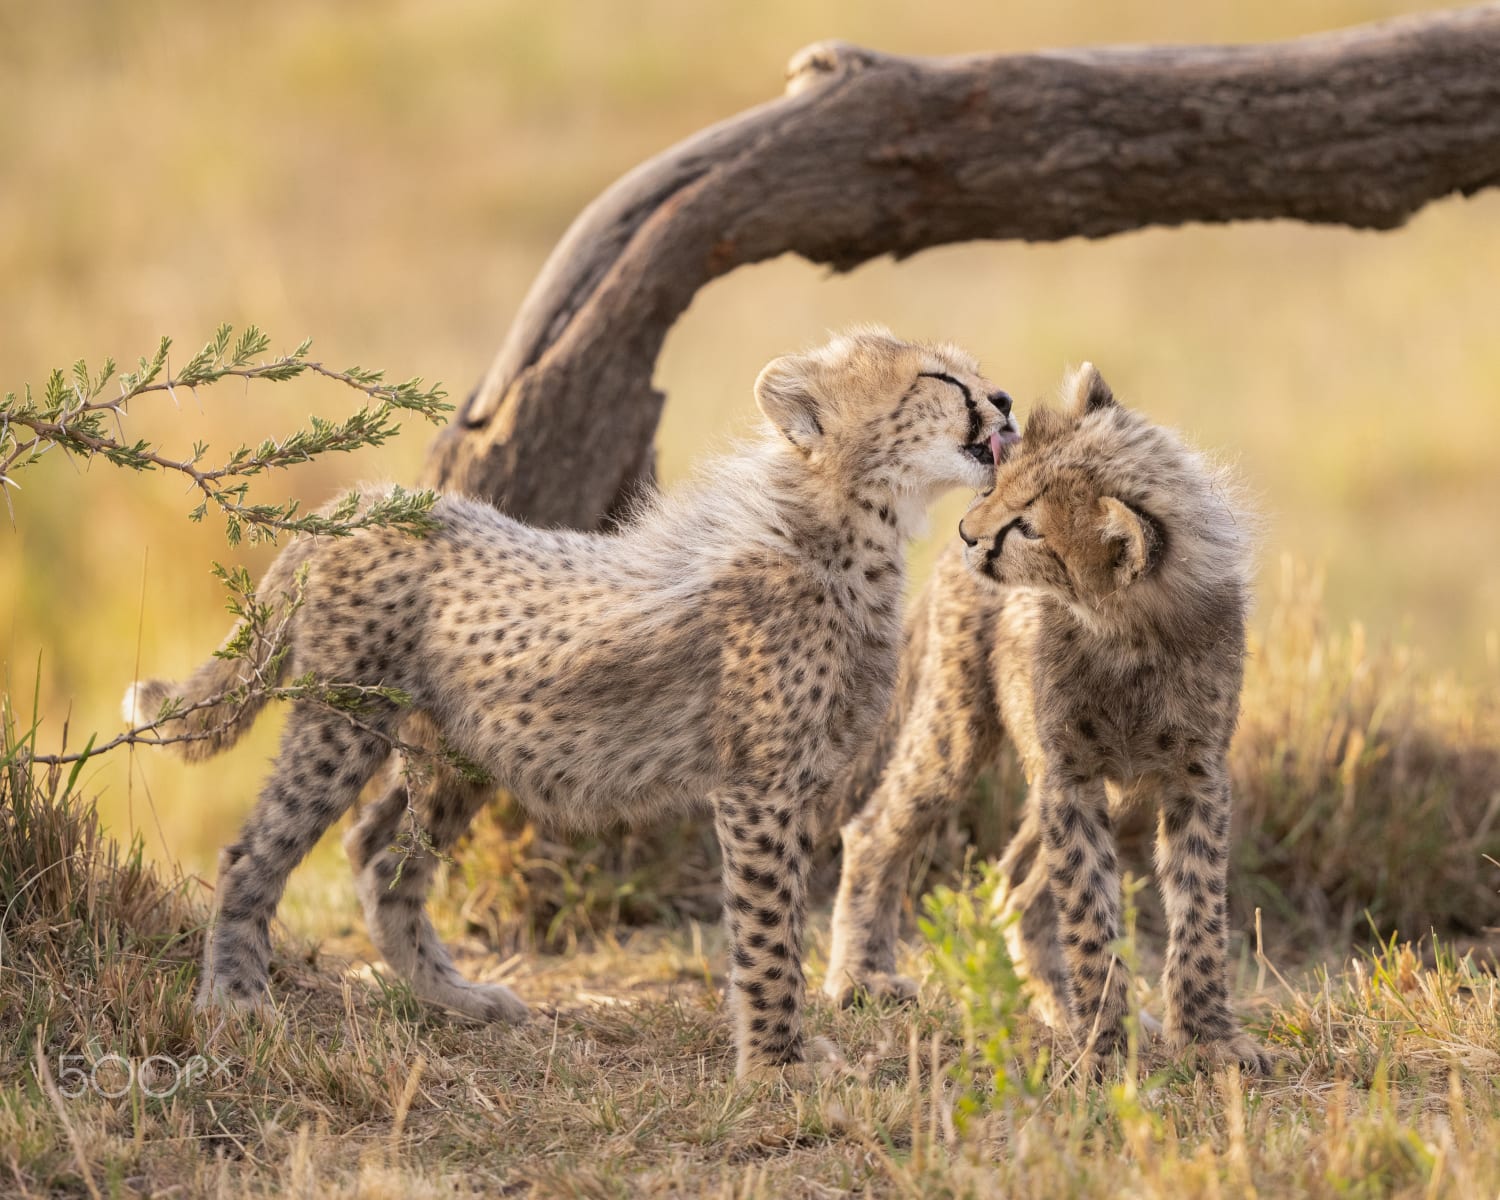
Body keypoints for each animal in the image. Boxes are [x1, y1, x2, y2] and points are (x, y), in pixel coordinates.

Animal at [122, 327, 1020, 1080]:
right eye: (941, 379)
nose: (1008, 401)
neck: (844, 528)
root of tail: (363, 503)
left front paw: (782, 1053)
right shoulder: (758, 789)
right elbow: (769, 933)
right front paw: (777, 1064)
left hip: (460, 751)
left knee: (381, 856)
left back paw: (456, 997)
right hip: (343, 720)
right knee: (255, 853)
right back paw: (236, 1001)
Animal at [825, 362, 1273, 1076]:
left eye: (1031, 529)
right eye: (1000, 484)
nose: (968, 532)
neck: (1128, 631)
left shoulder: (1194, 775)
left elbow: (1199, 907)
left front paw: (1209, 1039)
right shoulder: (1070, 775)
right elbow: (1089, 910)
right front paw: (1104, 1051)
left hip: (1110, 790)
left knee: (1018, 886)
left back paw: (1060, 1008)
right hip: (961, 727)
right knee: (876, 830)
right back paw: (861, 977)